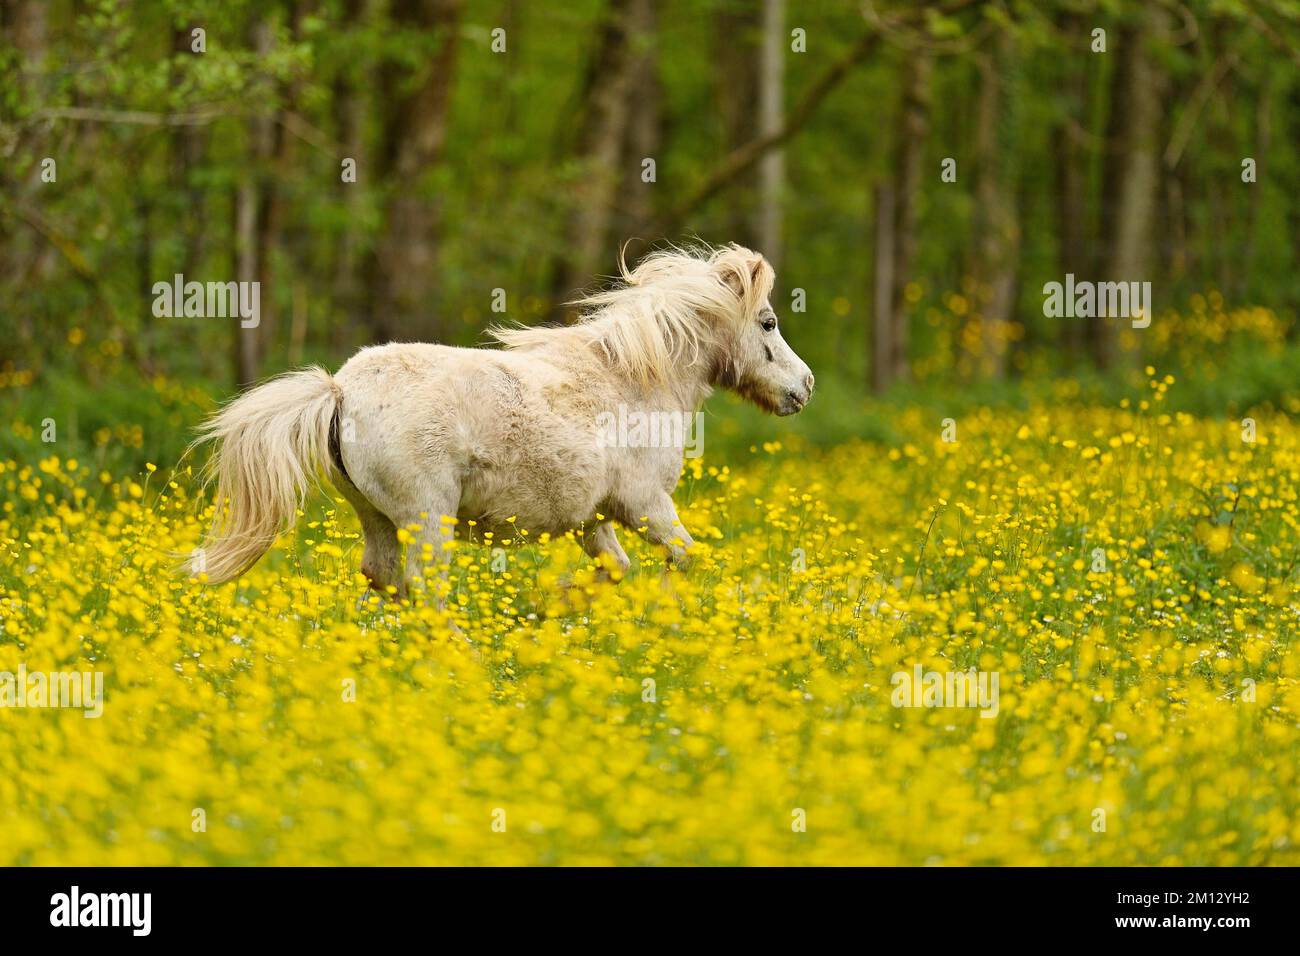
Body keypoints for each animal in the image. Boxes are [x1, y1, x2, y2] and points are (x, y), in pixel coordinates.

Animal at [190, 242, 814, 596]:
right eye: (767, 321)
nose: (803, 387)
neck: (632, 382)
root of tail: (340, 390)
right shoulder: (646, 506)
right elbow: (684, 558)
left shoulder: (595, 519)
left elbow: (615, 571)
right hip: (427, 520)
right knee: (427, 592)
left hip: (377, 517)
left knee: (383, 581)